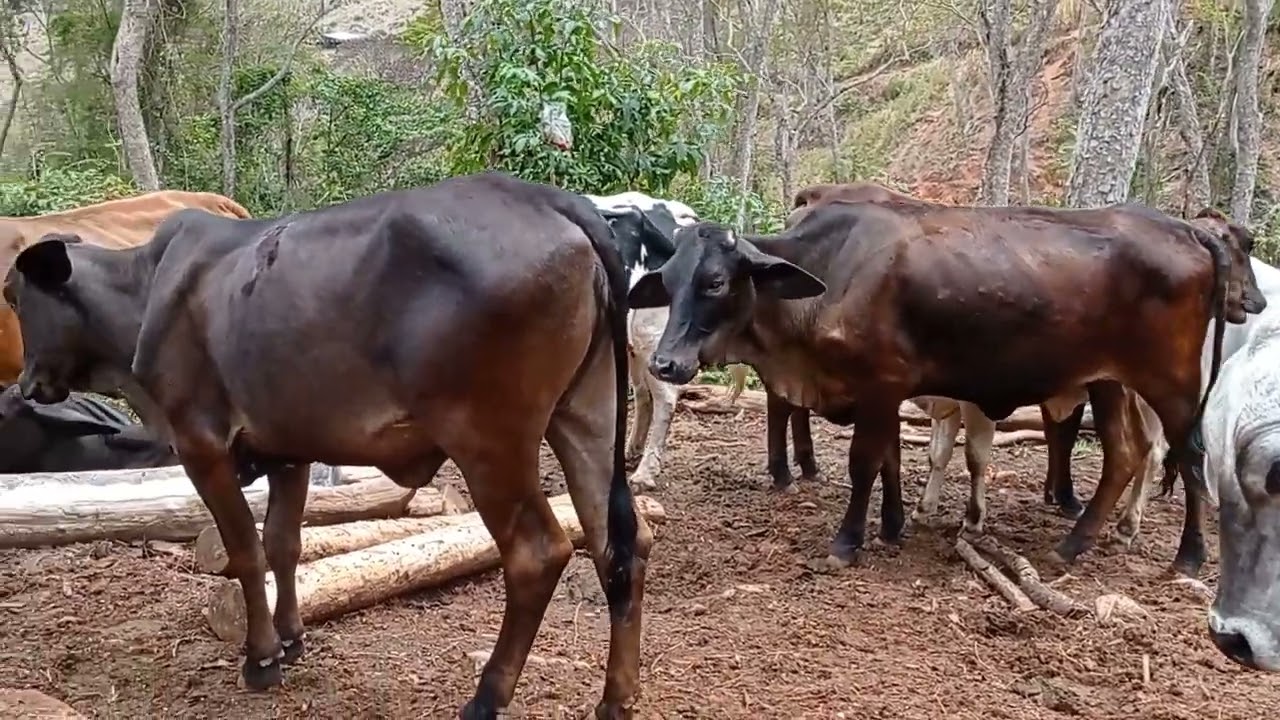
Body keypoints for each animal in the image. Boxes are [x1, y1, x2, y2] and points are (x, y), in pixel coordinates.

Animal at [627, 198, 1261, 579]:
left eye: (714, 282)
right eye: (668, 281)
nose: (665, 362)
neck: (831, 274)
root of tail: (1188, 230)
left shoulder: (879, 386)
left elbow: (865, 462)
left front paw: (848, 540)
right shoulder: (887, 393)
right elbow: (890, 460)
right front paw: (893, 526)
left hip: (1171, 383)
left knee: (1189, 458)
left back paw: (1189, 555)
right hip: (1107, 383)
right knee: (1124, 455)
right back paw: (1073, 543)